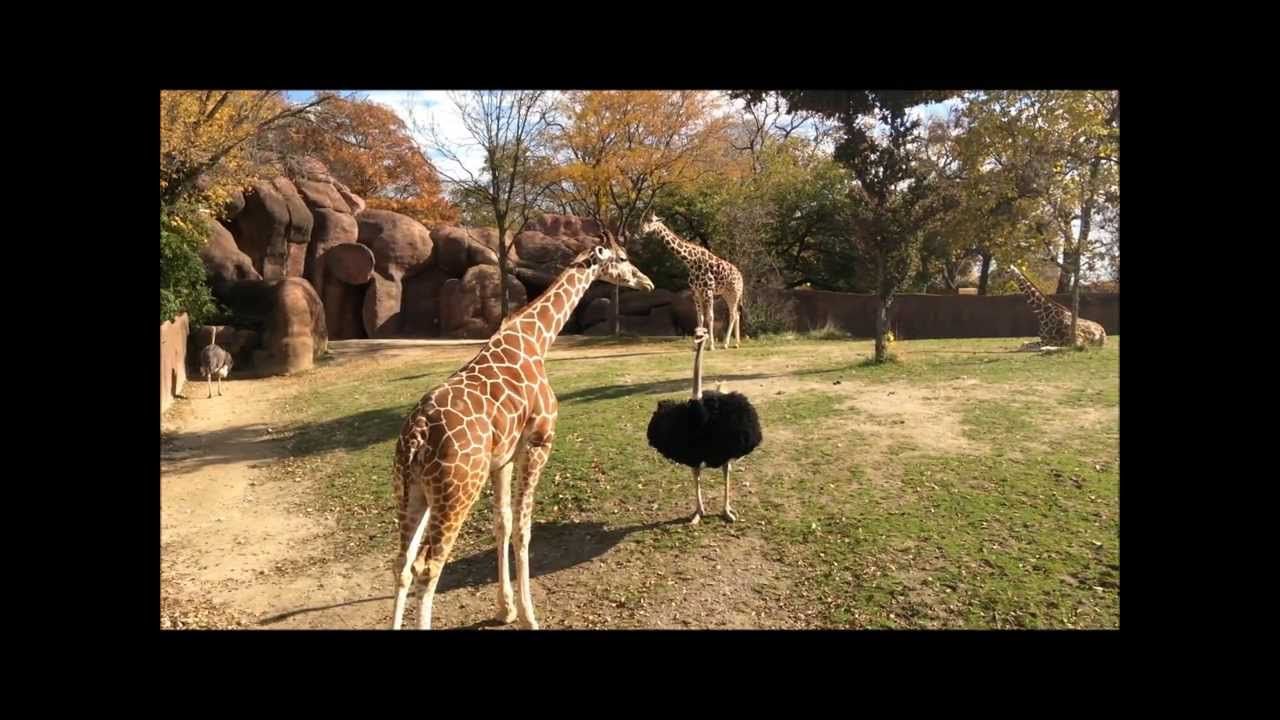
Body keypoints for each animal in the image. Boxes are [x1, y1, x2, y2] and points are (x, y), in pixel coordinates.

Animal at [390, 231, 654, 630]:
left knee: (402, 565)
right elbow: (523, 529)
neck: (536, 338)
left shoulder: (502, 459)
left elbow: (502, 523)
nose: (646, 281)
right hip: (456, 492)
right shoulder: (538, 443)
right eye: (622, 257)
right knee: (427, 567)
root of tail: (417, 433)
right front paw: (529, 616)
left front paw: (506, 608)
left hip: (412, 490)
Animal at [639, 213, 744, 351]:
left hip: (735, 293)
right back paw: (736, 343)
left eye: (651, 221)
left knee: (733, 314)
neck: (691, 261)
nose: (642, 230)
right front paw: (697, 345)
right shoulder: (696, 292)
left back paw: (726, 343)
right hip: (726, 294)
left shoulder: (708, 291)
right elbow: (700, 318)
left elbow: (710, 317)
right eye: (644, 220)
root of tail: (741, 276)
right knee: (736, 313)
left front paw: (711, 345)